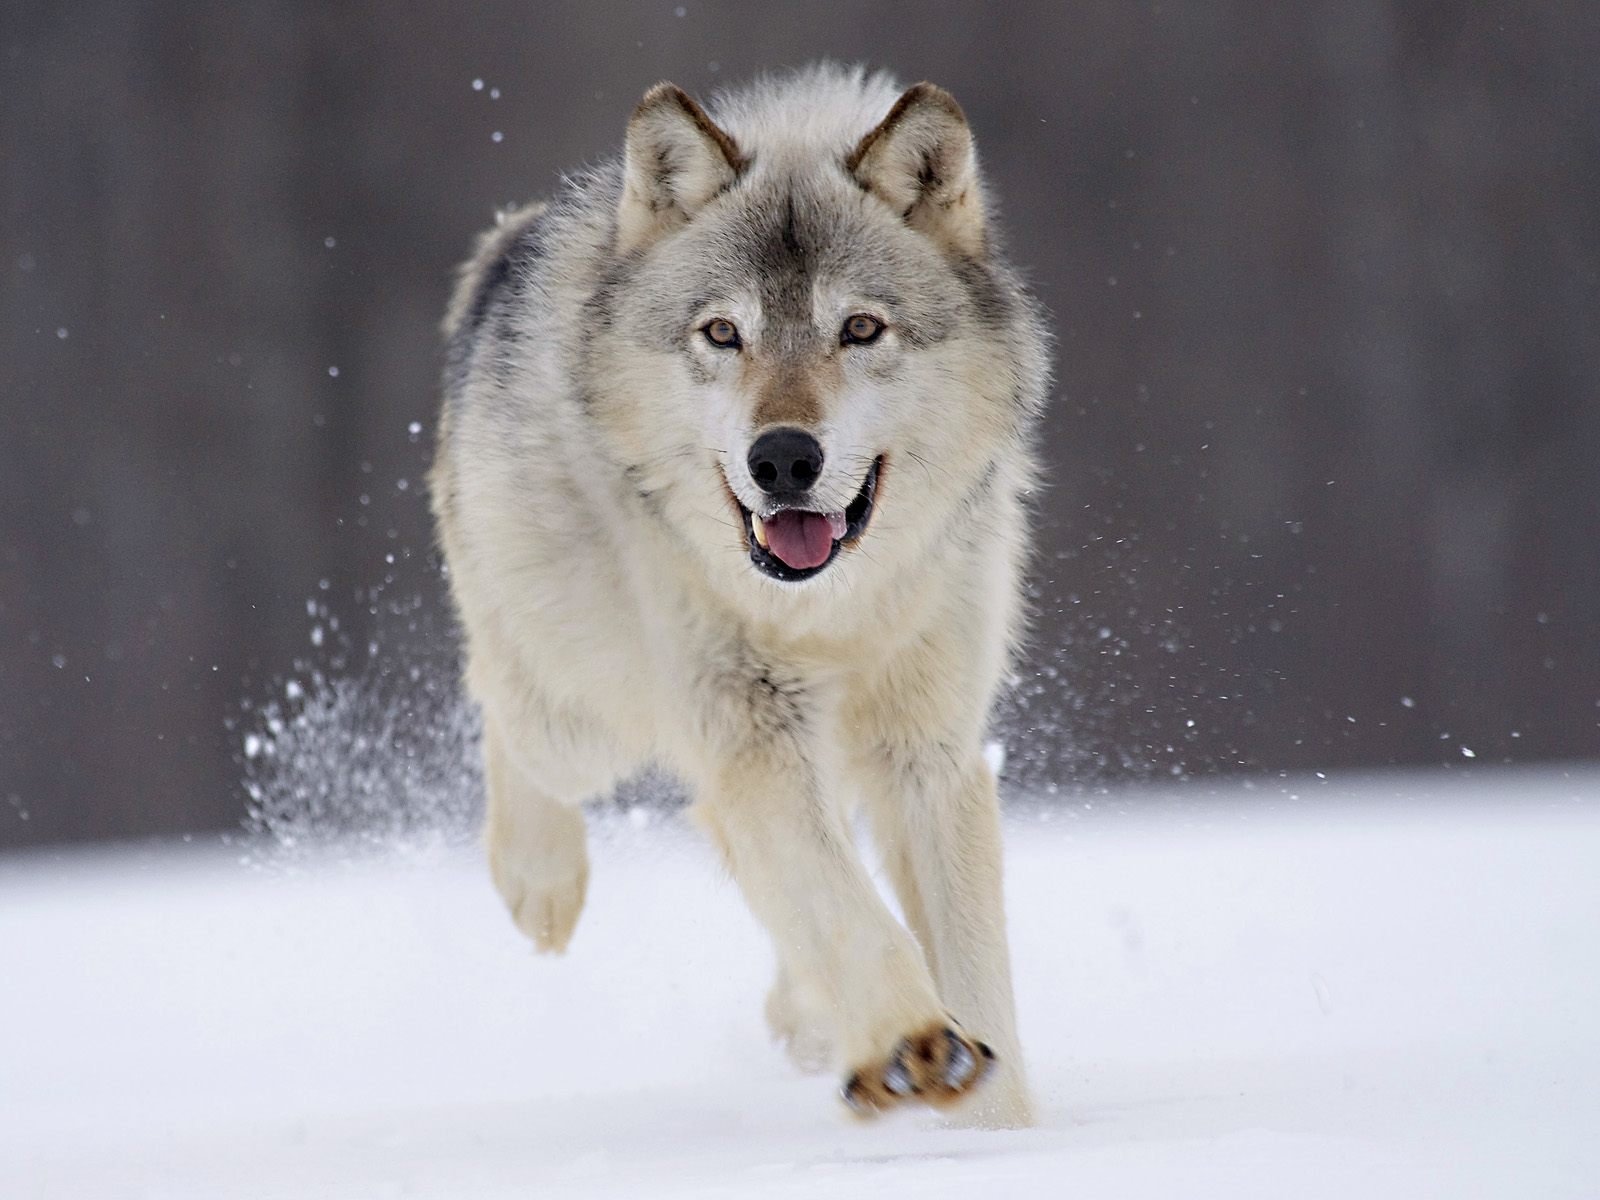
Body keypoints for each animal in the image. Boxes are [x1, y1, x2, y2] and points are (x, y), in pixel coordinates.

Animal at [429, 64, 1050, 1127]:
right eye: (723, 333)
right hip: (582, 713)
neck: (830, 613)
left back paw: (808, 1021)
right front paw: (913, 1043)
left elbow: (970, 969)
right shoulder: (750, 732)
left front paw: (996, 1124)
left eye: (860, 329)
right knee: (504, 707)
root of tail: (509, 243)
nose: (784, 458)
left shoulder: (929, 753)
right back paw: (539, 884)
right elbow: (847, 910)